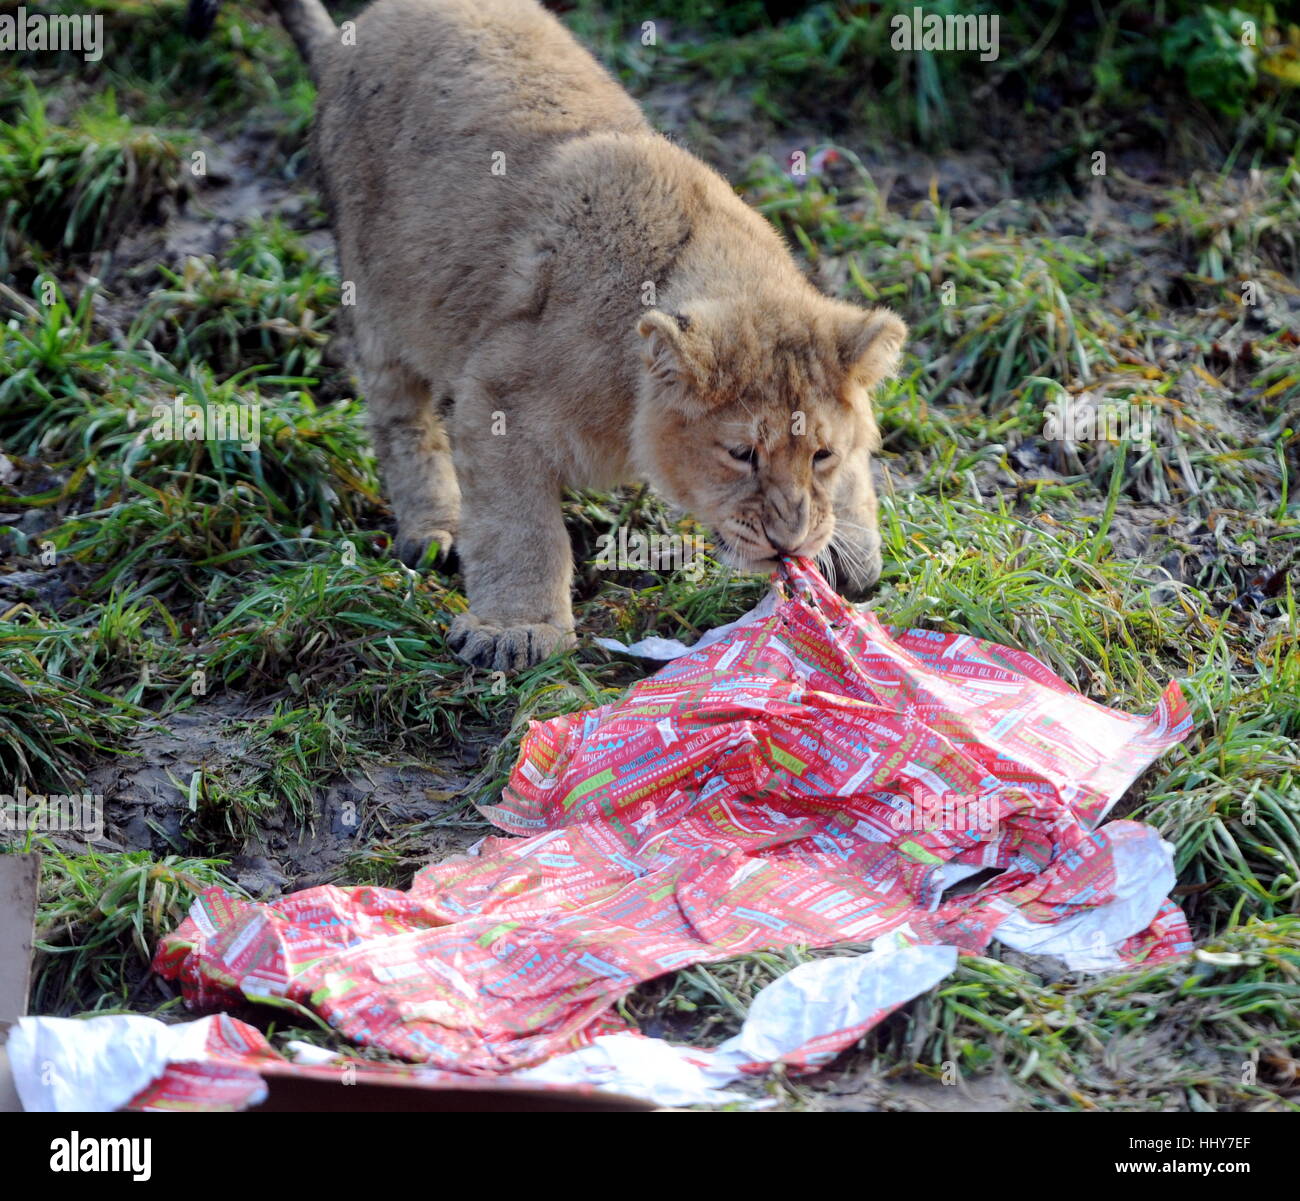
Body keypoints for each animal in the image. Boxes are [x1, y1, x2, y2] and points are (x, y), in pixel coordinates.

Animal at [195, 0, 908, 671]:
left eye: (821, 454)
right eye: (741, 454)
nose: (791, 541)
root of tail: (361, 27)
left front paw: (852, 552)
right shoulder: (494, 396)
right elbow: (520, 527)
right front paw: (517, 632)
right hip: (374, 295)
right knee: (402, 422)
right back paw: (434, 528)